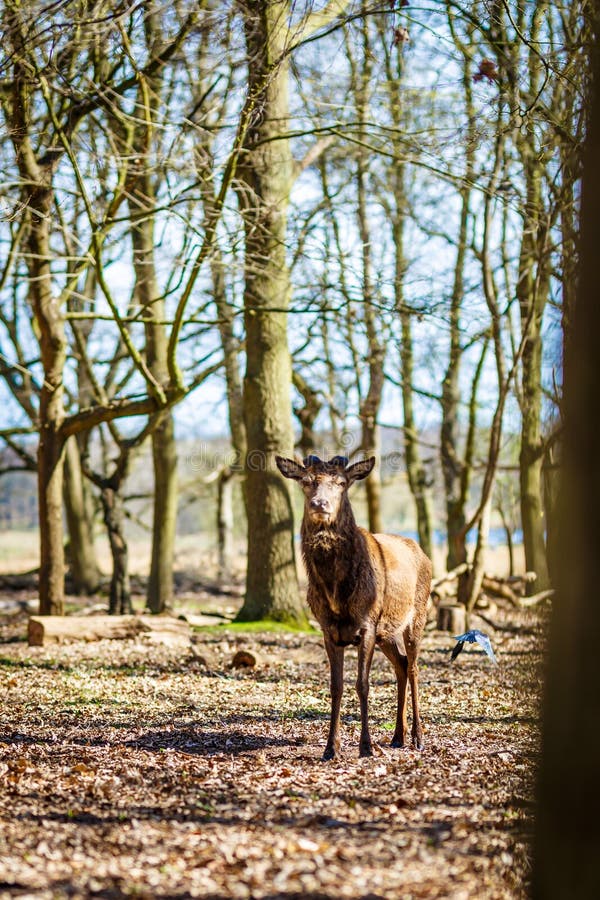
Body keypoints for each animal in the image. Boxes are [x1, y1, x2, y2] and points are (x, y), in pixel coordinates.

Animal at [276, 453, 432, 760]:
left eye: (341, 483)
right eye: (306, 481)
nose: (320, 504)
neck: (338, 594)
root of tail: (424, 554)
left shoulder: (367, 624)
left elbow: (362, 684)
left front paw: (366, 746)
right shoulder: (328, 629)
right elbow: (336, 687)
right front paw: (330, 748)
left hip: (417, 615)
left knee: (414, 668)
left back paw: (418, 737)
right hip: (387, 632)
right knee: (401, 664)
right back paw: (398, 736)